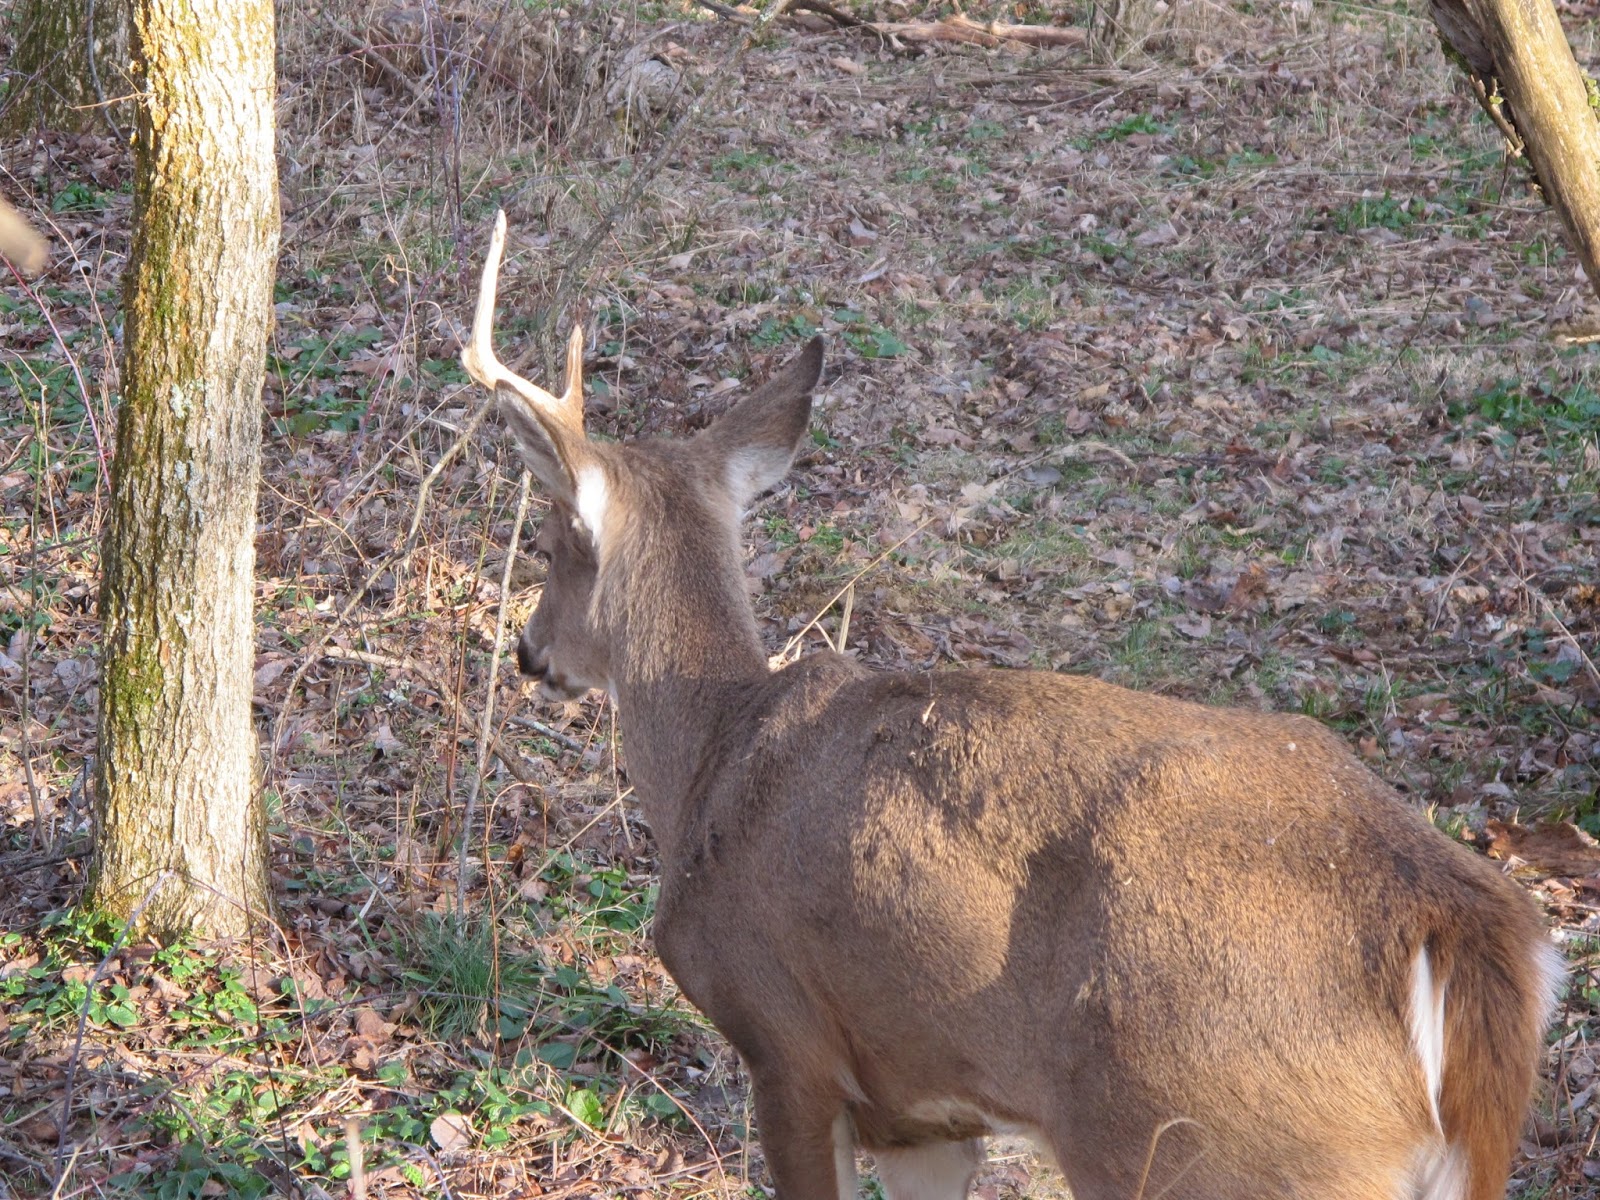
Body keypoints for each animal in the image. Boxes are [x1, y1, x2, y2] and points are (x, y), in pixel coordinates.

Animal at [461, 212, 1562, 1200]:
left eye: (551, 541)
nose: (528, 651)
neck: (709, 758)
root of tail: (1459, 927)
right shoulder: (924, 1105)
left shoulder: (786, 1039)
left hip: (1209, 1147)